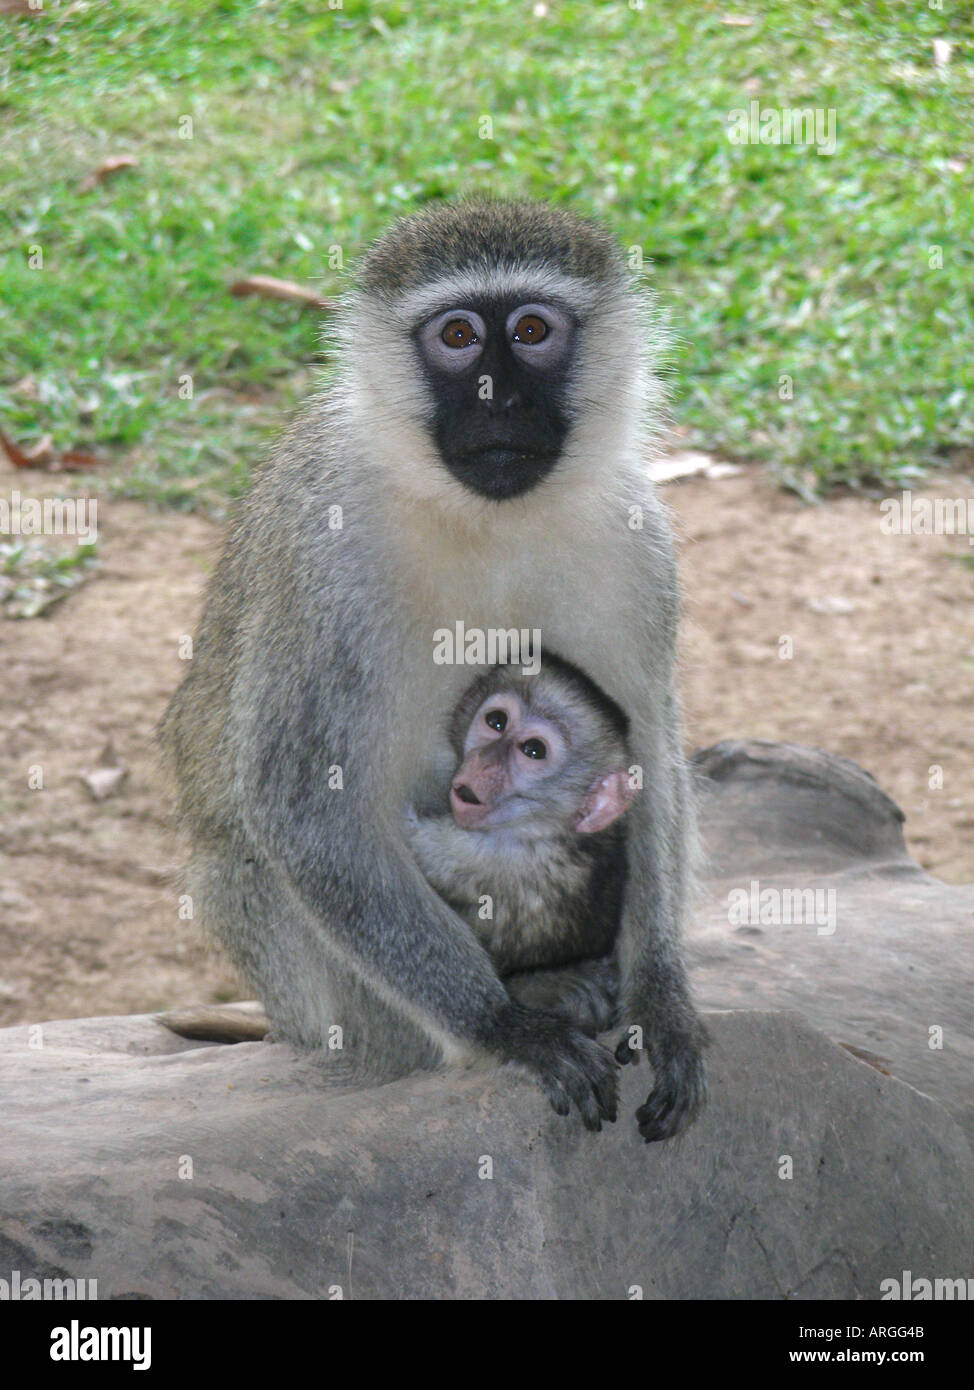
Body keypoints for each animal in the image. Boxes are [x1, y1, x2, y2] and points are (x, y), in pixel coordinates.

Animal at [159, 198, 707, 1140]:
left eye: (531, 331)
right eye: (457, 336)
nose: (499, 399)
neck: (483, 518)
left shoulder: (639, 545)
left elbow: (648, 757)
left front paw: (662, 1000)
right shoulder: (326, 554)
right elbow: (303, 804)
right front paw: (507, 1026)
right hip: (322, 1000)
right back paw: (538, 998)